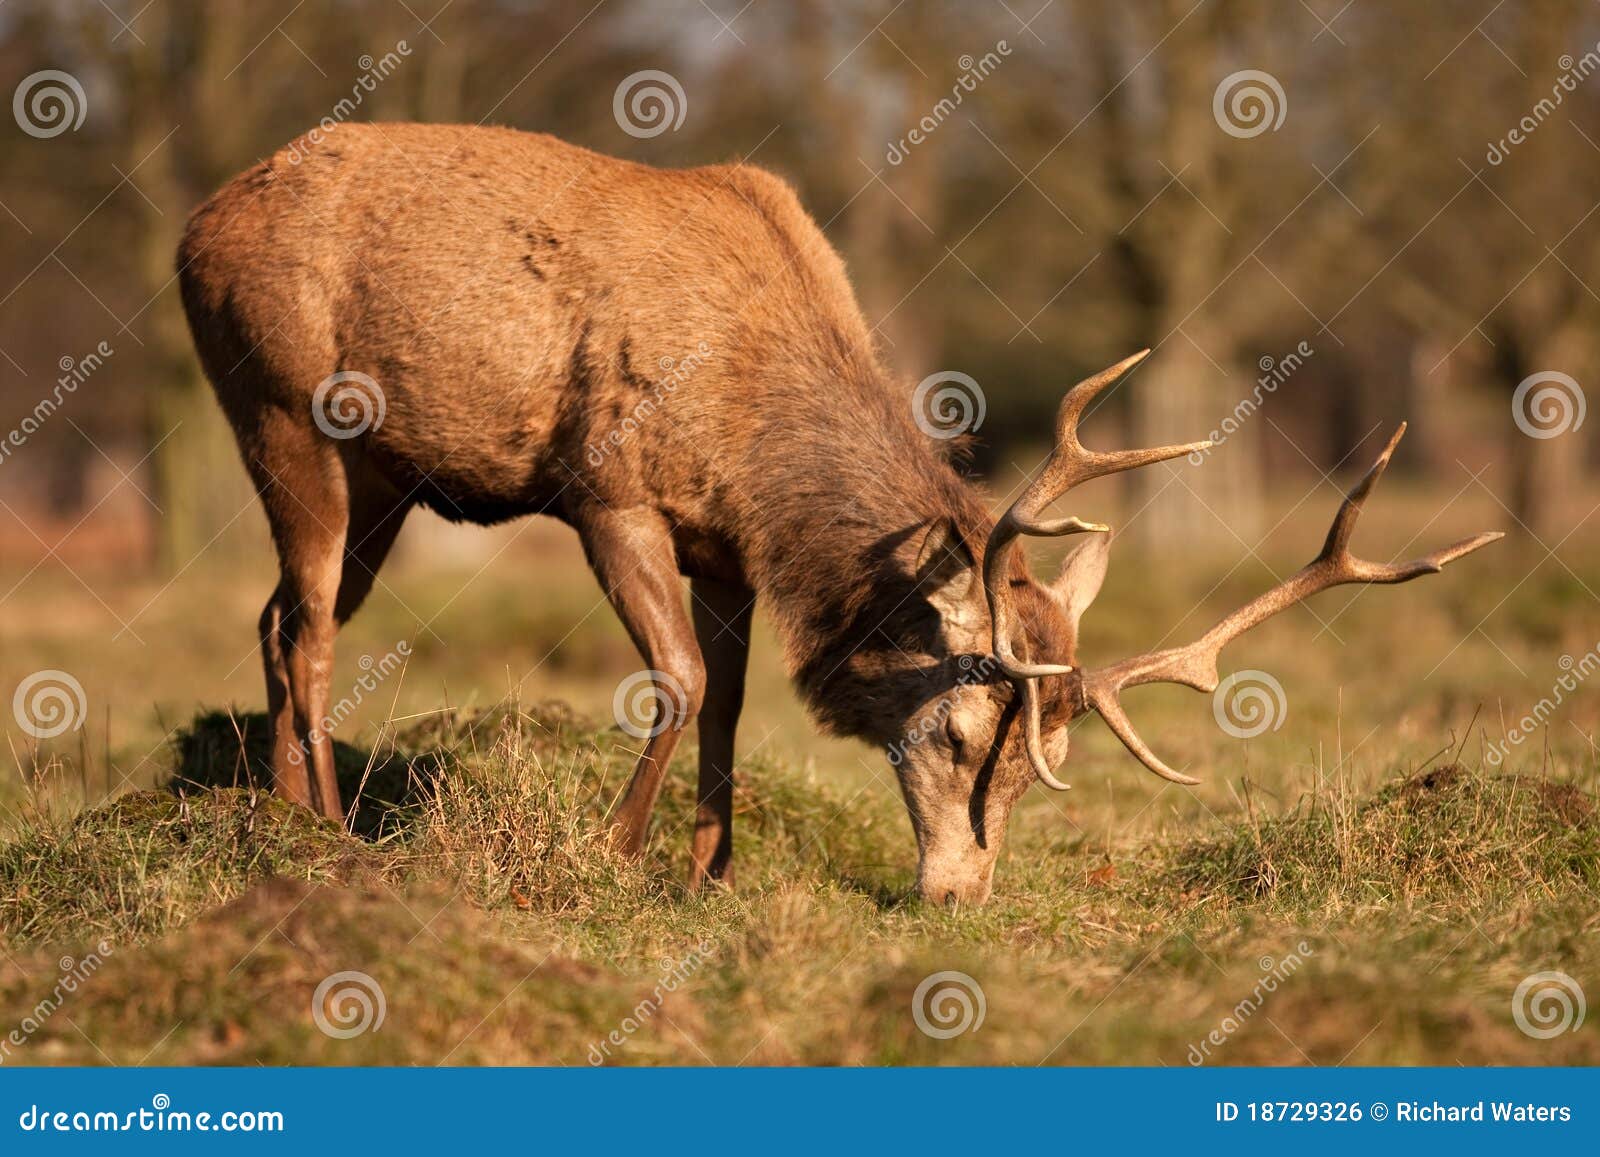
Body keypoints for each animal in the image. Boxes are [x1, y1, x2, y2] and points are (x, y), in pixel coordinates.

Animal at [178, 123, 1501, 905]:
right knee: (308, 625)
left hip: (384, 476)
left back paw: (275, 810)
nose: (958, 895)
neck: (756, 435)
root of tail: (196, 226)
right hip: (280, 401)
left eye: (1046, 768)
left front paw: (710, 871)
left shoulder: (724, 547)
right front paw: (614, 855)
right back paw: (317, 834)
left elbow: (730, 703)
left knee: (273, 615)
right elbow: (677, 682)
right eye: (963, 733)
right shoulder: (610, 490)